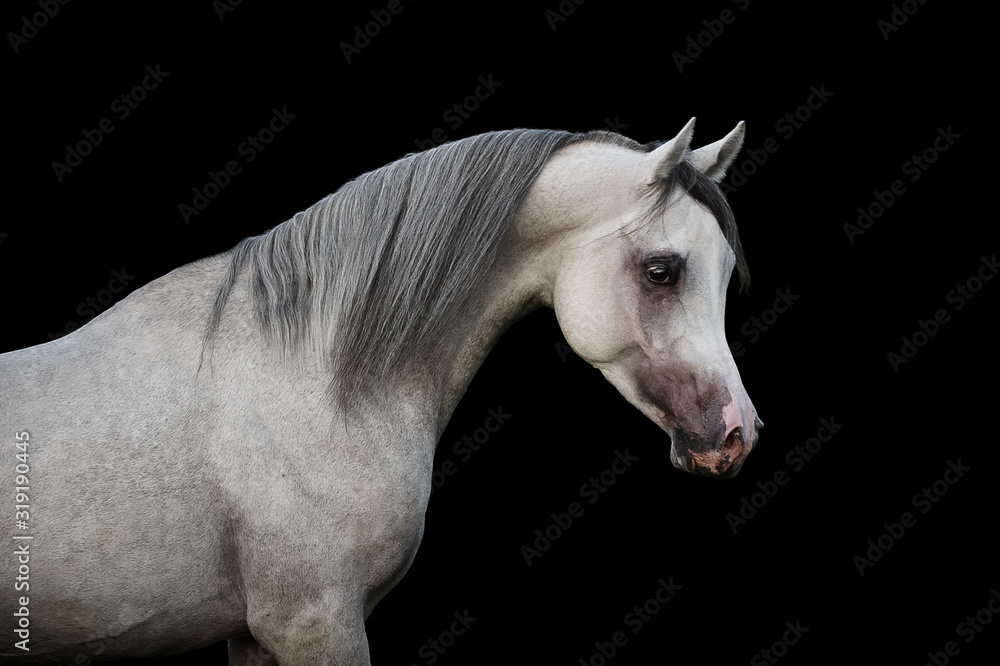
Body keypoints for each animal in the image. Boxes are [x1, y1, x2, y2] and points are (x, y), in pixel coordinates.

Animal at [1, 118, 761, 665]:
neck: (312, 375)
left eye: (727, 274)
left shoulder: (258, 636)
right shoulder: (315, 623)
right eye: (662, 271)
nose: (737, 435)